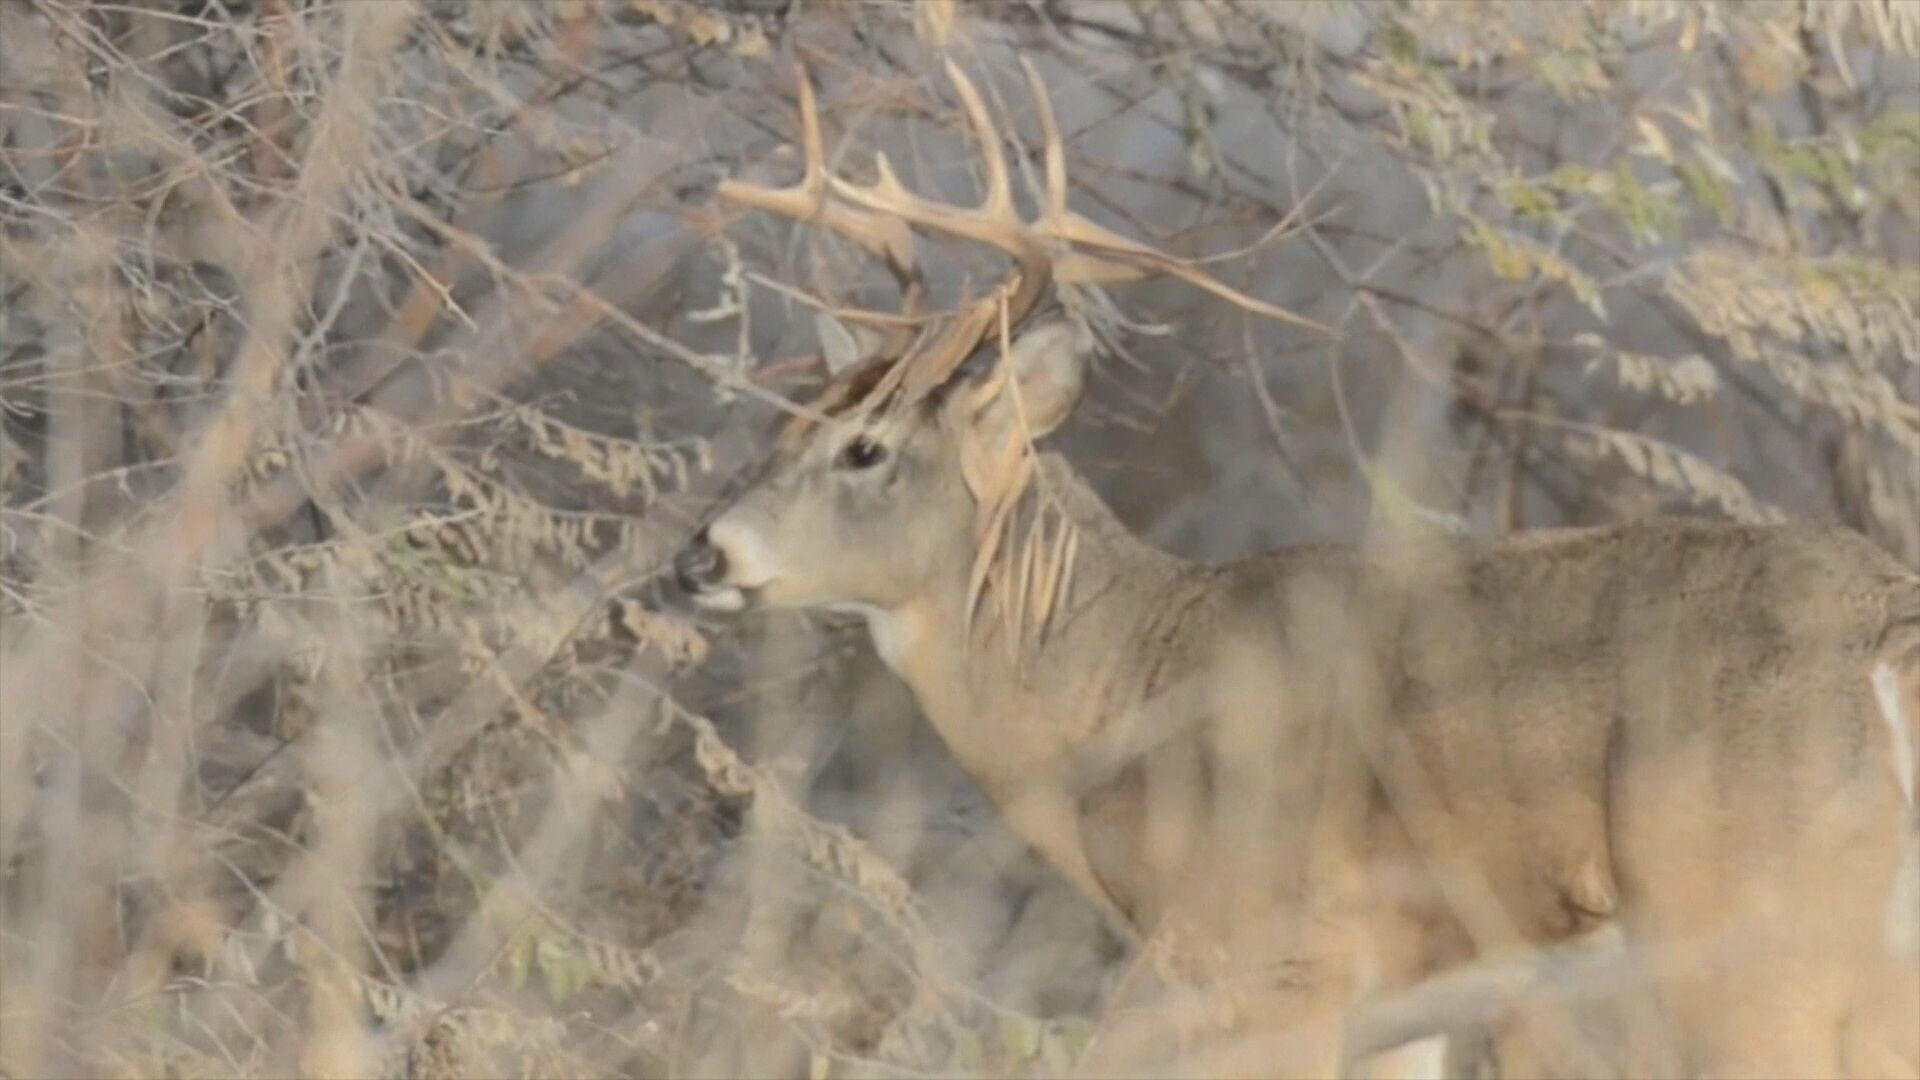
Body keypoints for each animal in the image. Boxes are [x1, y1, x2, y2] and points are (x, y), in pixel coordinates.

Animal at [672, 60, 1920, 1079]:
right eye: (783, 422)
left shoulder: (1268, 958)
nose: (700, 553)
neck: (1118, 688)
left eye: (864, 448)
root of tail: (1885, 629)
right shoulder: (1396, 1011)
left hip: (1753, 939)